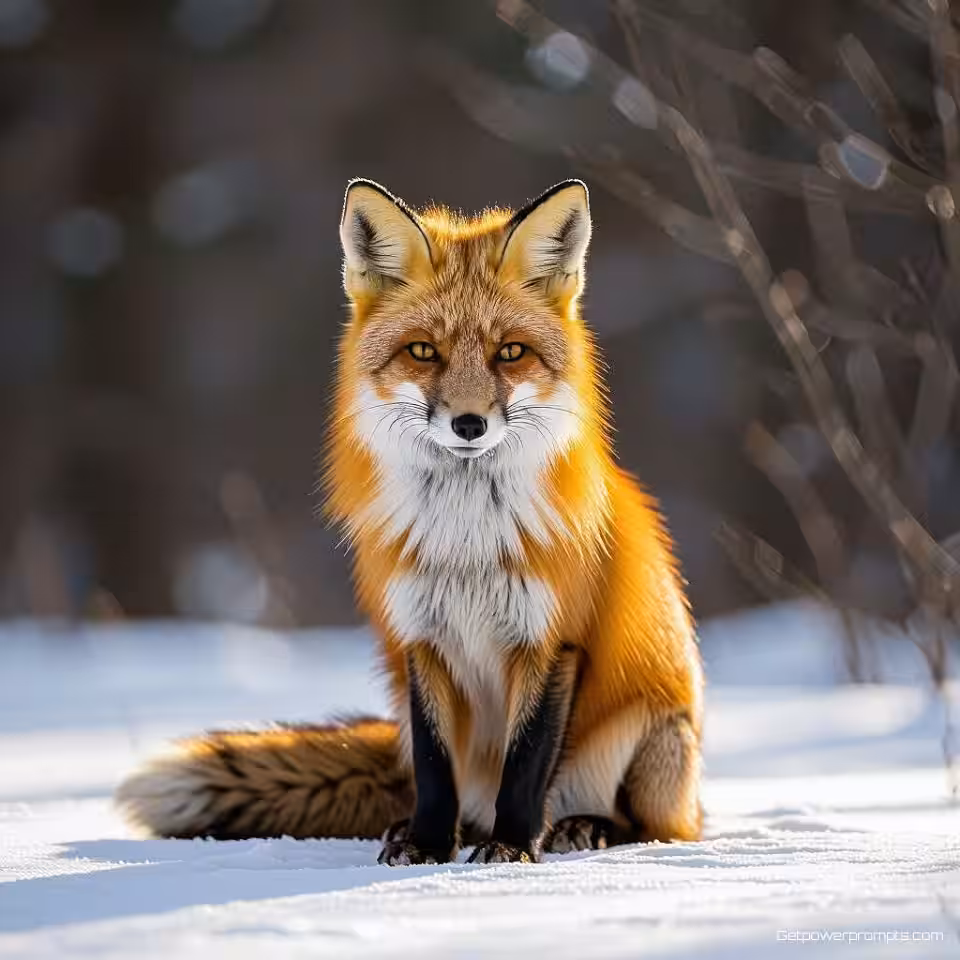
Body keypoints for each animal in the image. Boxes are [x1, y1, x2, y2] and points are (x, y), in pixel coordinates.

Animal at [116, 178, 704, 864]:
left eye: (510, 353)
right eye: (424, 351)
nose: (470, 424)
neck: (466, 544)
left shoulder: (553, 638)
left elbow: (525, 763)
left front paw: (511, 848)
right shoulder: (419, 635)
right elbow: (432, 765)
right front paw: (426, 846)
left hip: (653, 738)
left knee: (662, 828)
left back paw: (588, 827)